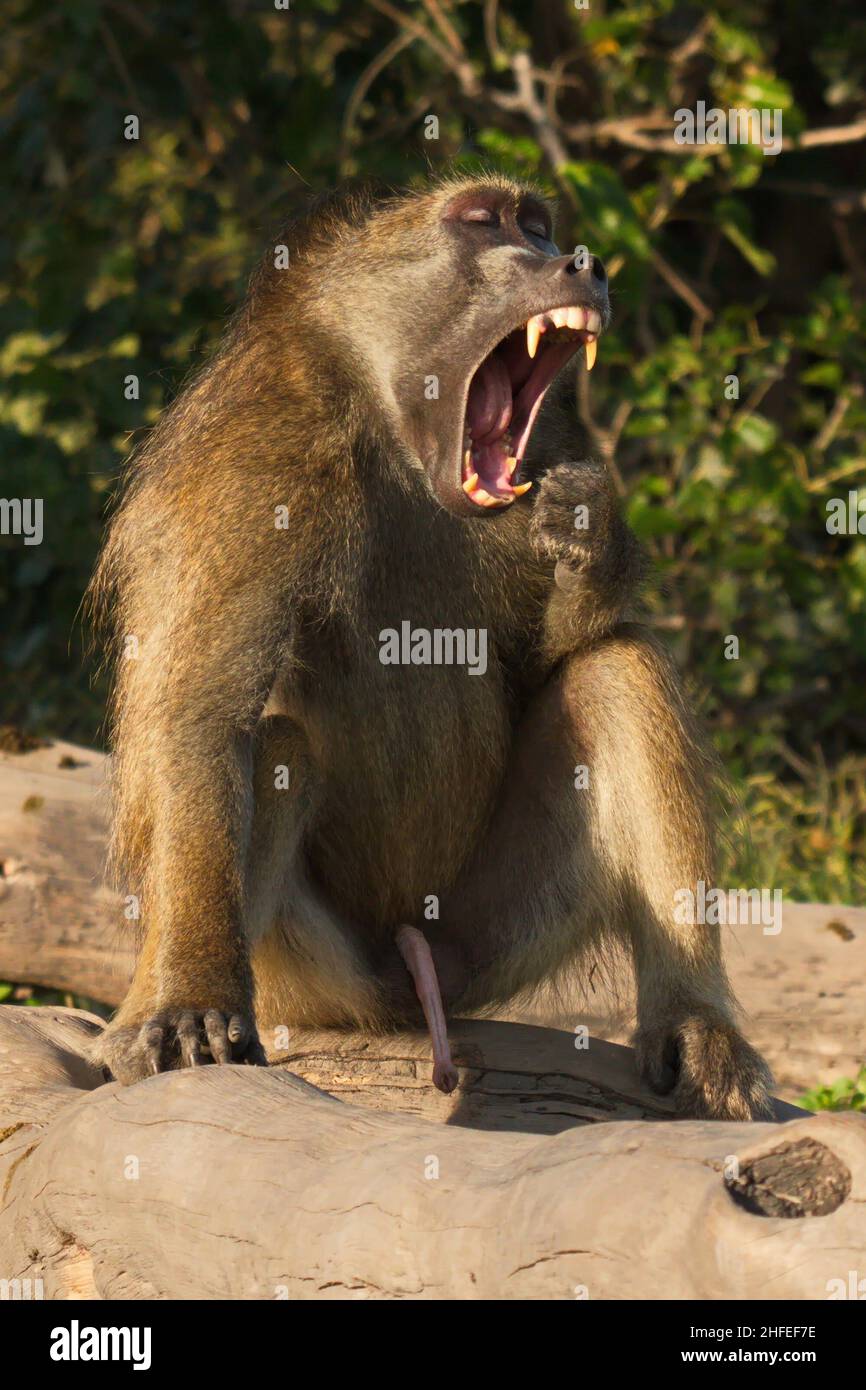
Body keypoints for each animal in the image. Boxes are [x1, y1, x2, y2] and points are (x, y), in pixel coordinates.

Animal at [88, 172, 773, 1121]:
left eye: (538, 225)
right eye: (484, 223)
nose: (581, 264)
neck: (387, 429)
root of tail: (407, 977)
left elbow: (550, 659)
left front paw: (591, 540)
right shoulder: (251, 465)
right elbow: (203, 717)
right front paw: (189, 1002)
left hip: (482, 939)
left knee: (618, 670)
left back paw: (696, 1027)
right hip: (311, 978)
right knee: (276, 744)